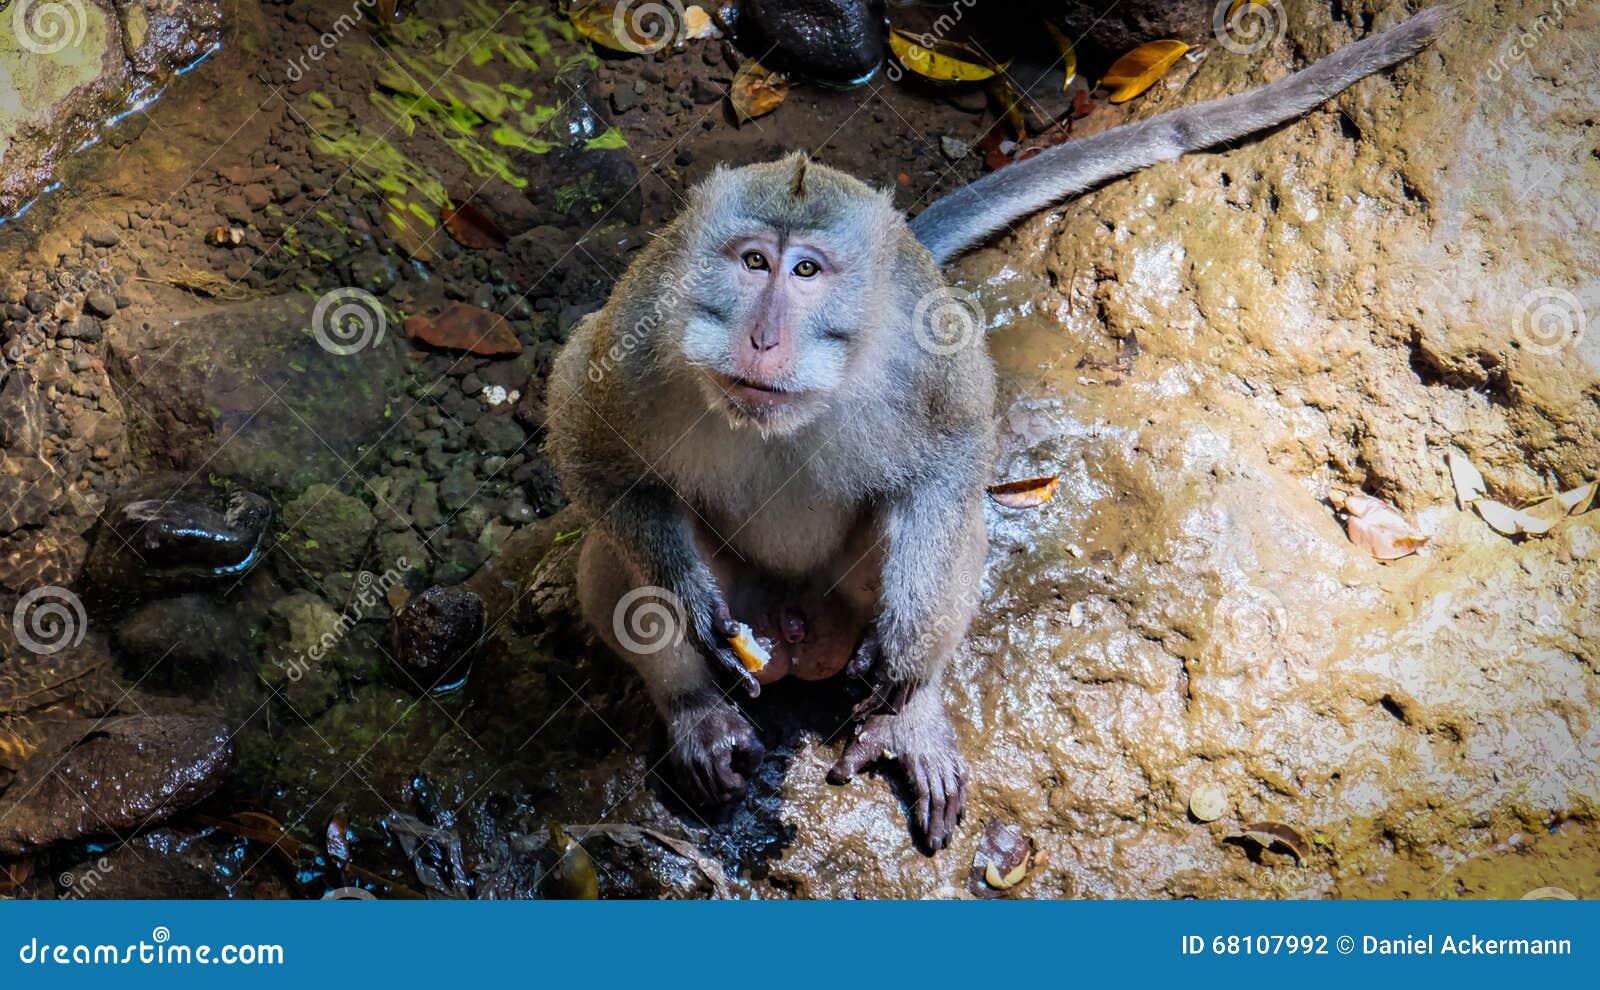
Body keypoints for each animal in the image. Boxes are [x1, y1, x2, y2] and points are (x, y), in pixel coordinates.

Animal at [545, 6, 1450, 852]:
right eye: (753, 262)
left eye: (805, 270)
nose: (763, 338)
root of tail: (800, 631)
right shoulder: (639, 336)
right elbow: (592, 456)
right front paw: (687, 597)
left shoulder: (928, 345)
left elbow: (948, 466)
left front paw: (910, 656)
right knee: (612, 556)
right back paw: (696, 713)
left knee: (941, 521)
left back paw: (910, 714)